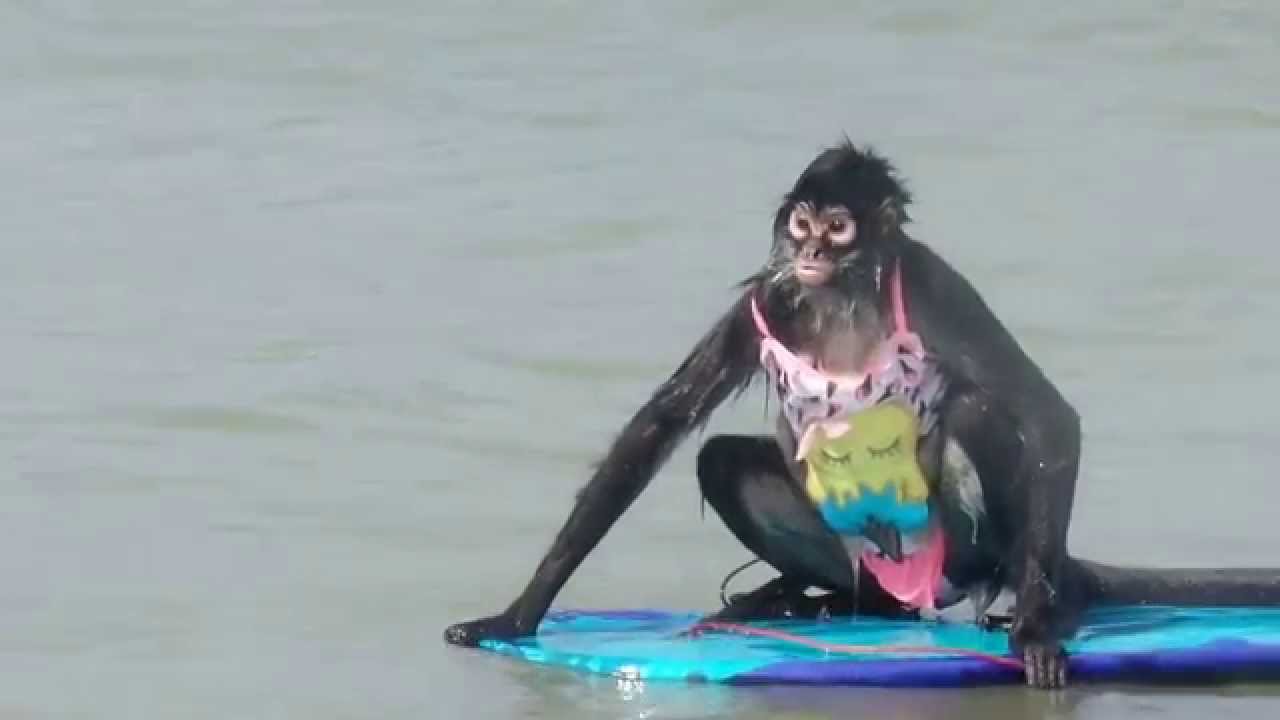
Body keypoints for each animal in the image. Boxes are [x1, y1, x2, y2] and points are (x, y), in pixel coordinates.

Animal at [444, 141, 1280, 690]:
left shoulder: (930, 277)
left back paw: (1045, 595)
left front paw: (1044, 627)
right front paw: (516, 618)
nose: (812, 249)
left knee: (980, 411)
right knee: (725, 462)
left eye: (838, 227)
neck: (843, 295)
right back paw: (803, 601)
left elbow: (1048, 414)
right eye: (803, 224)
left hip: (968, 559)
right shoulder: (771, 291)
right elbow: (663, 422)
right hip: (864, 567)